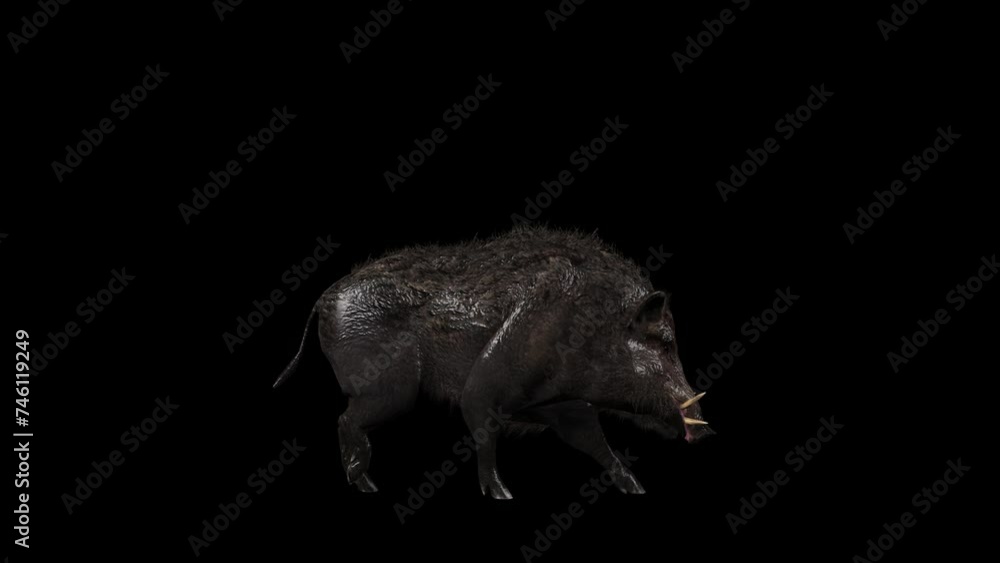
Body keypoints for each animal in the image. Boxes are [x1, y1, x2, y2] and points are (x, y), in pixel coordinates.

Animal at [273, 226, 714, 499]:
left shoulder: (564, 405)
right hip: (390, 389)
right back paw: (362, 482)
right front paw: (502, 494)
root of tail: (324, 299)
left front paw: (635, 487)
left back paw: (363, 483)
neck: (595, 327)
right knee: (345, 419)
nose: (707, 430)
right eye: (665, 344)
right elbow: (483, 428)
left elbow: (594, 441)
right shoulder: (486, 383)